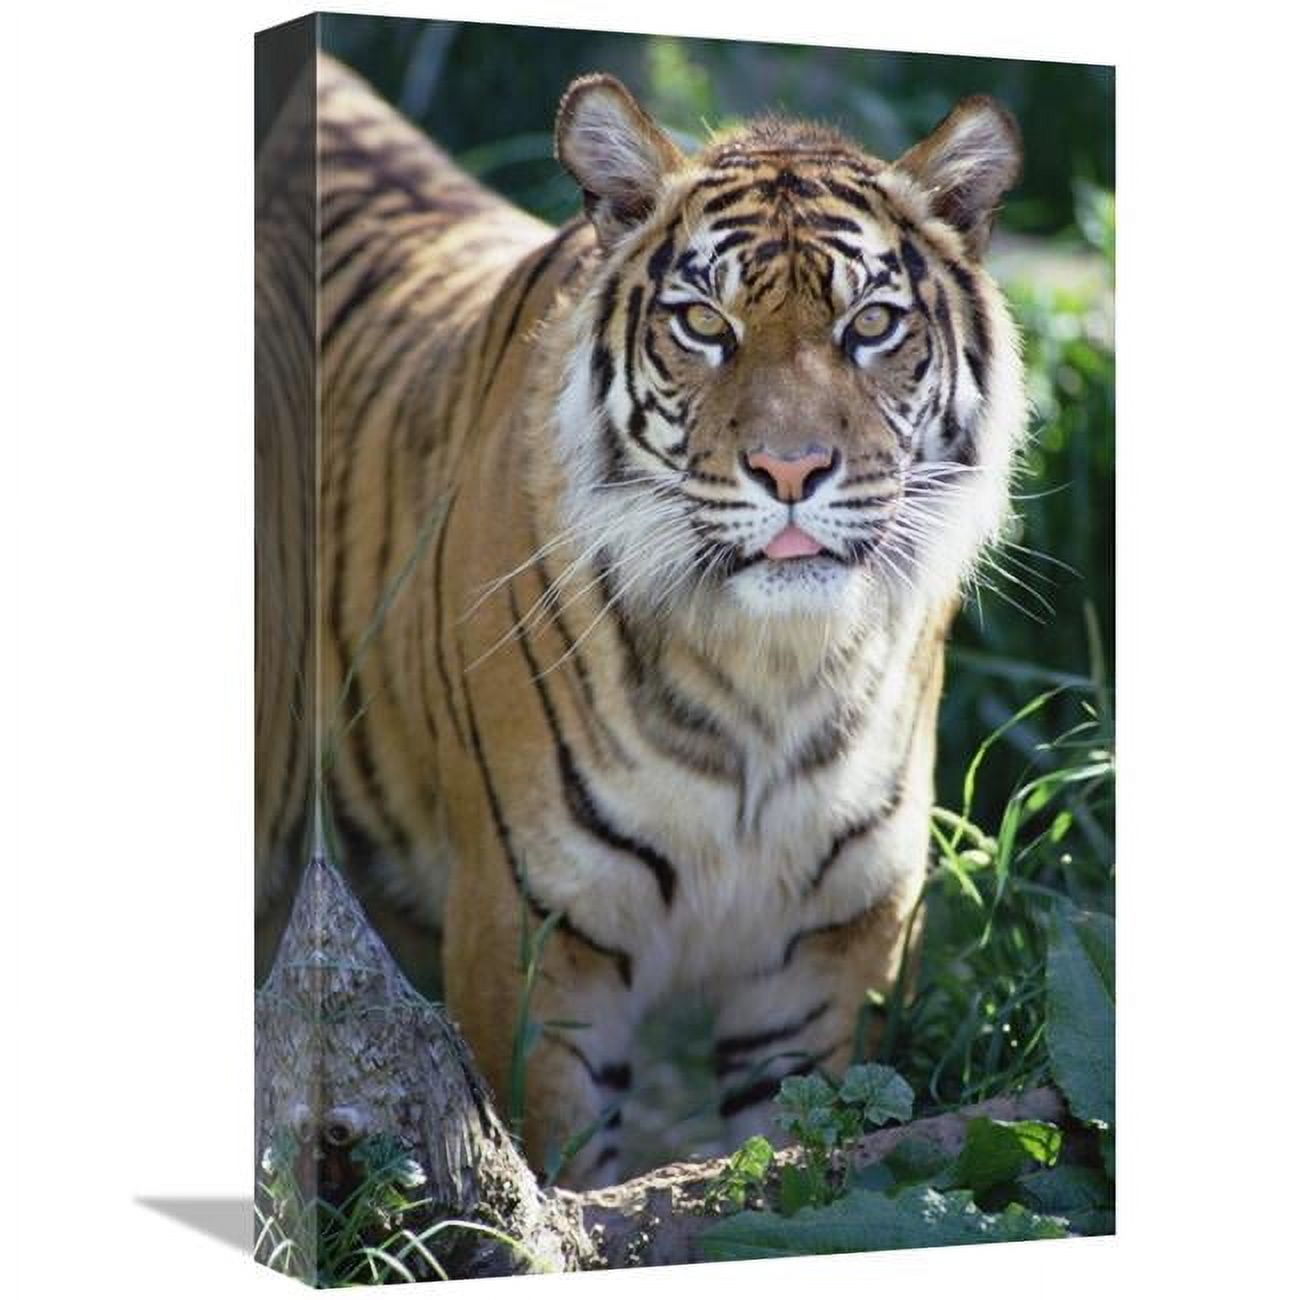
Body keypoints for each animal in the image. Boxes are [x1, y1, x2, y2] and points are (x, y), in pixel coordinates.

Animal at [255, 51, 1027, 1190]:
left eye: (871, 325)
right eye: (705, 326)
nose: (791, 469)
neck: (768, 675)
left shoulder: (834, 949)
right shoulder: (535, 941)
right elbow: (559, 1172)